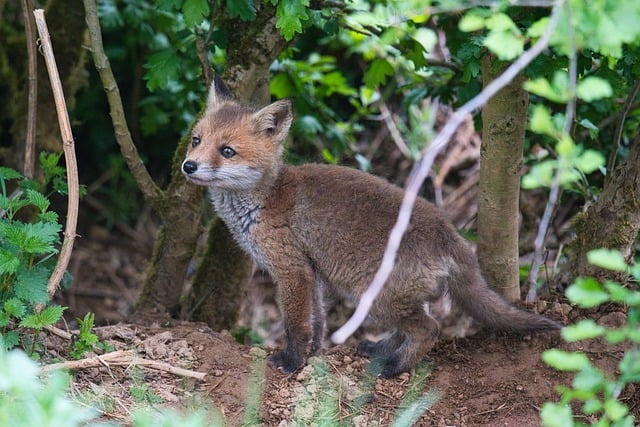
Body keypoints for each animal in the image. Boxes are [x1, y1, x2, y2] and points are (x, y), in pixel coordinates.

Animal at [181, 79, 561, 378]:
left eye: (227, 151)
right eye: (196, 141)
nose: (187, 166)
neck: (263, 199)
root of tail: (450, 235)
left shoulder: (292, 271)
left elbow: (296, 324)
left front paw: (293, 362)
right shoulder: (312, 274)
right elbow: (317, 322)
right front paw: (313, 352)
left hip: (373, 297)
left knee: (430, 329)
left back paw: (395, 367)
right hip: (389, 297)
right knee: (414, 325)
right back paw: (381, 351)